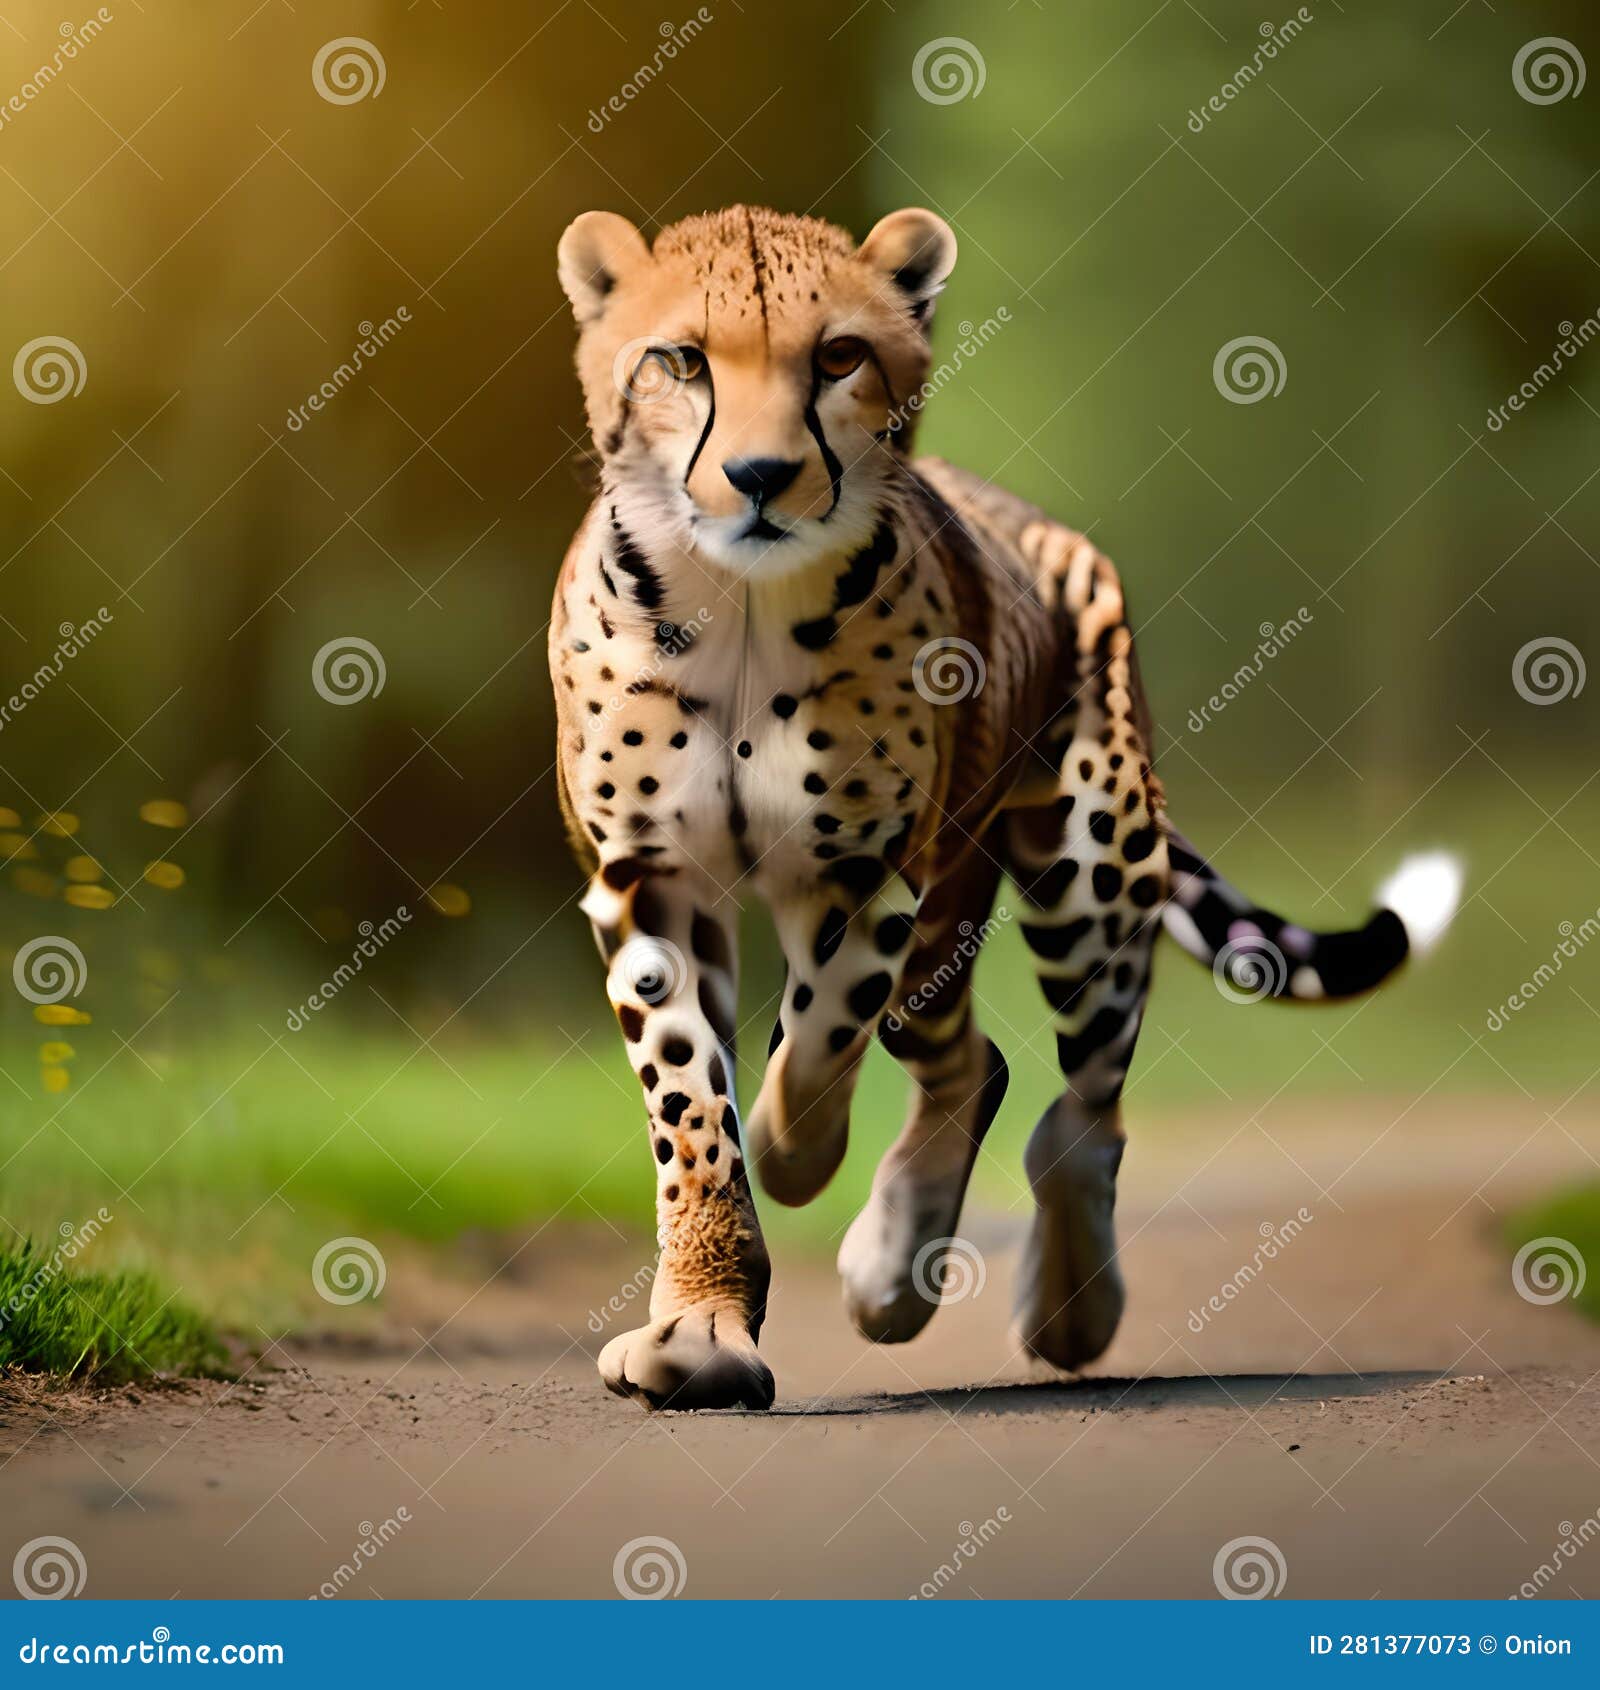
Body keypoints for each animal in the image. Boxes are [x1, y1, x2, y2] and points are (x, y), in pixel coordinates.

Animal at [548, 203, 1462, 1411]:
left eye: (837, 357)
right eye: (682, 361)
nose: (758, 476)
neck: (740, 604)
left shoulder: (868, 865)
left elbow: (818, 1032)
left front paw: (797, 1146)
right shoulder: (647, 878)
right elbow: (692, 1106)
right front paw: (702, 1324)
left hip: (1089, 858)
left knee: (1081, 1109)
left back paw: (1062, 1309)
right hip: (962, 917)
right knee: (968, 1061)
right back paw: (896, 1271)